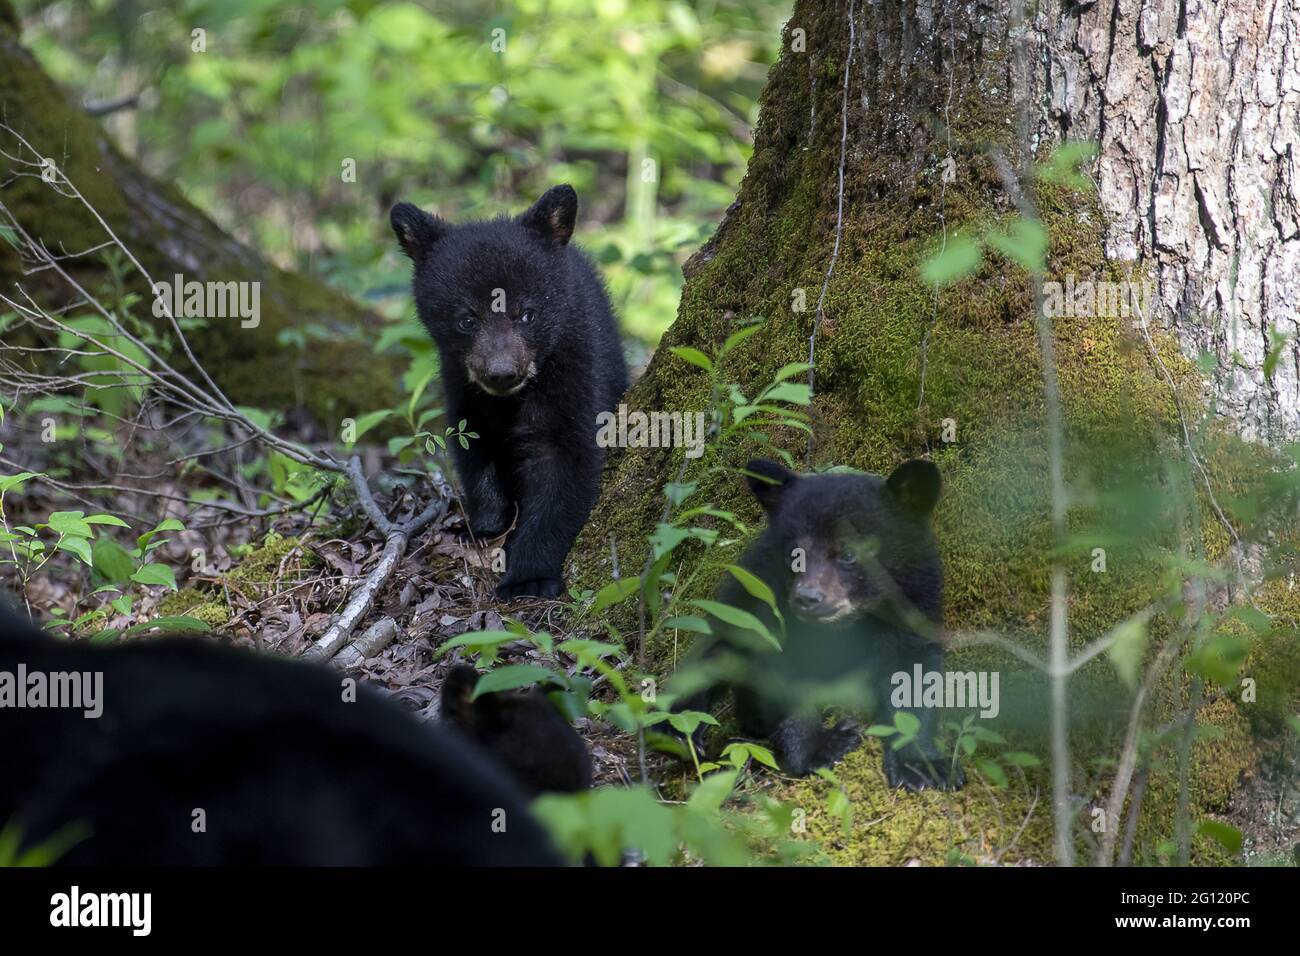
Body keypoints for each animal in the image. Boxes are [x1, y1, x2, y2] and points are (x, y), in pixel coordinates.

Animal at [390, 185, 628, 600]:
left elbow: (563, 461)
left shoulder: (574, 368)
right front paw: (485, 526)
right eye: (466, 320)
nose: (501, 373)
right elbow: (473, 446)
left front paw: (528, 576)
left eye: (527, 313)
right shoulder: (461, 383)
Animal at [668, 458, 965, 790]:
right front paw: (823, 746)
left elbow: (913, 673)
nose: (807, 598)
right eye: (794, 553)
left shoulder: (915, 600)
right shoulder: (766, 602)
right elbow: (780, 679)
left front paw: (923, 765)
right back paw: (679, 728)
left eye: (849, 553)